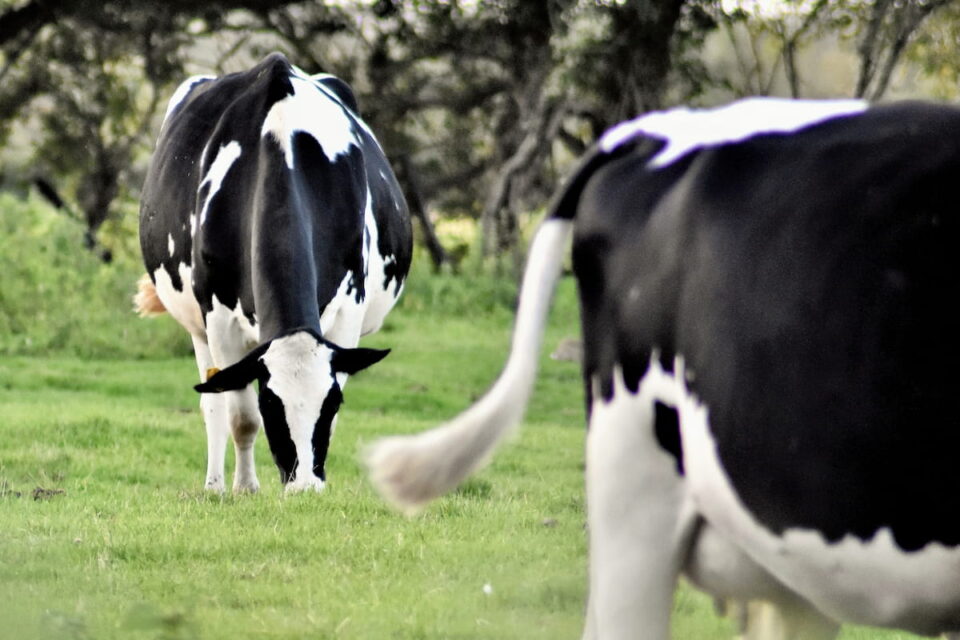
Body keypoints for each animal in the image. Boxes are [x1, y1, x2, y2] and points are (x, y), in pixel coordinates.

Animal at [137, 53, 412, 494]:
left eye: (332, 402)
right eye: (271, 403)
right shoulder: (220, 320)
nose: (304, 488)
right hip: (197, 326)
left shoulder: (347, 315)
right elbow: (240, 416)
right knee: (212, 401)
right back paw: (215, 486)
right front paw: (246, 488)